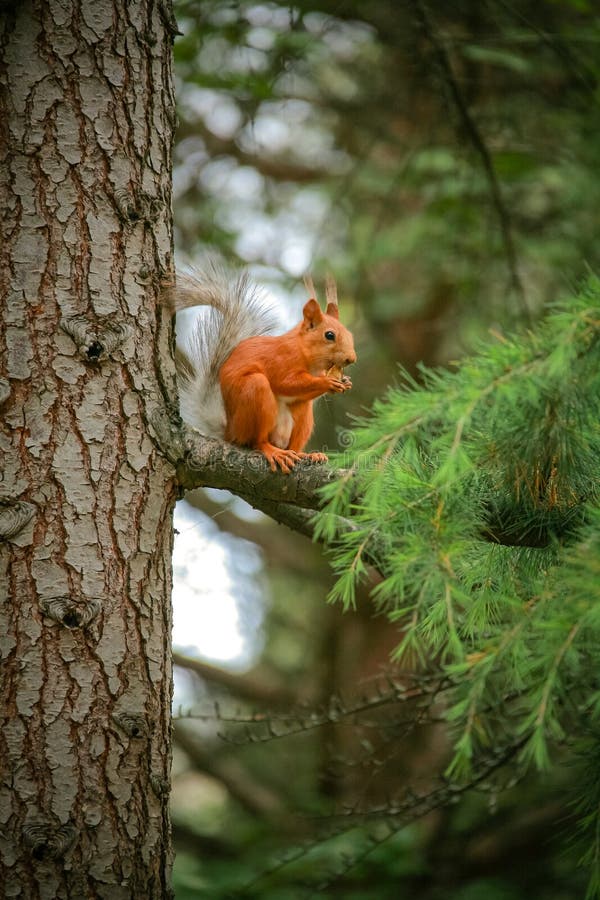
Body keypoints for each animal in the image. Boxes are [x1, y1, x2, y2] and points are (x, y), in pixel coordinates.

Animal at [164, 263, 356, 473]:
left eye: (350, 334)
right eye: (329, 335)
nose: (352, 359)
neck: (304, 352)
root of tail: (230, 432)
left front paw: (345, 382)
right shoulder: (279, 361)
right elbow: (285, 383)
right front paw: (327, 382)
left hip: (302, 414)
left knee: (296, 438)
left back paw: (306, 455)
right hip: (254, 395)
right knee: (257, 441)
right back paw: (272, 451)